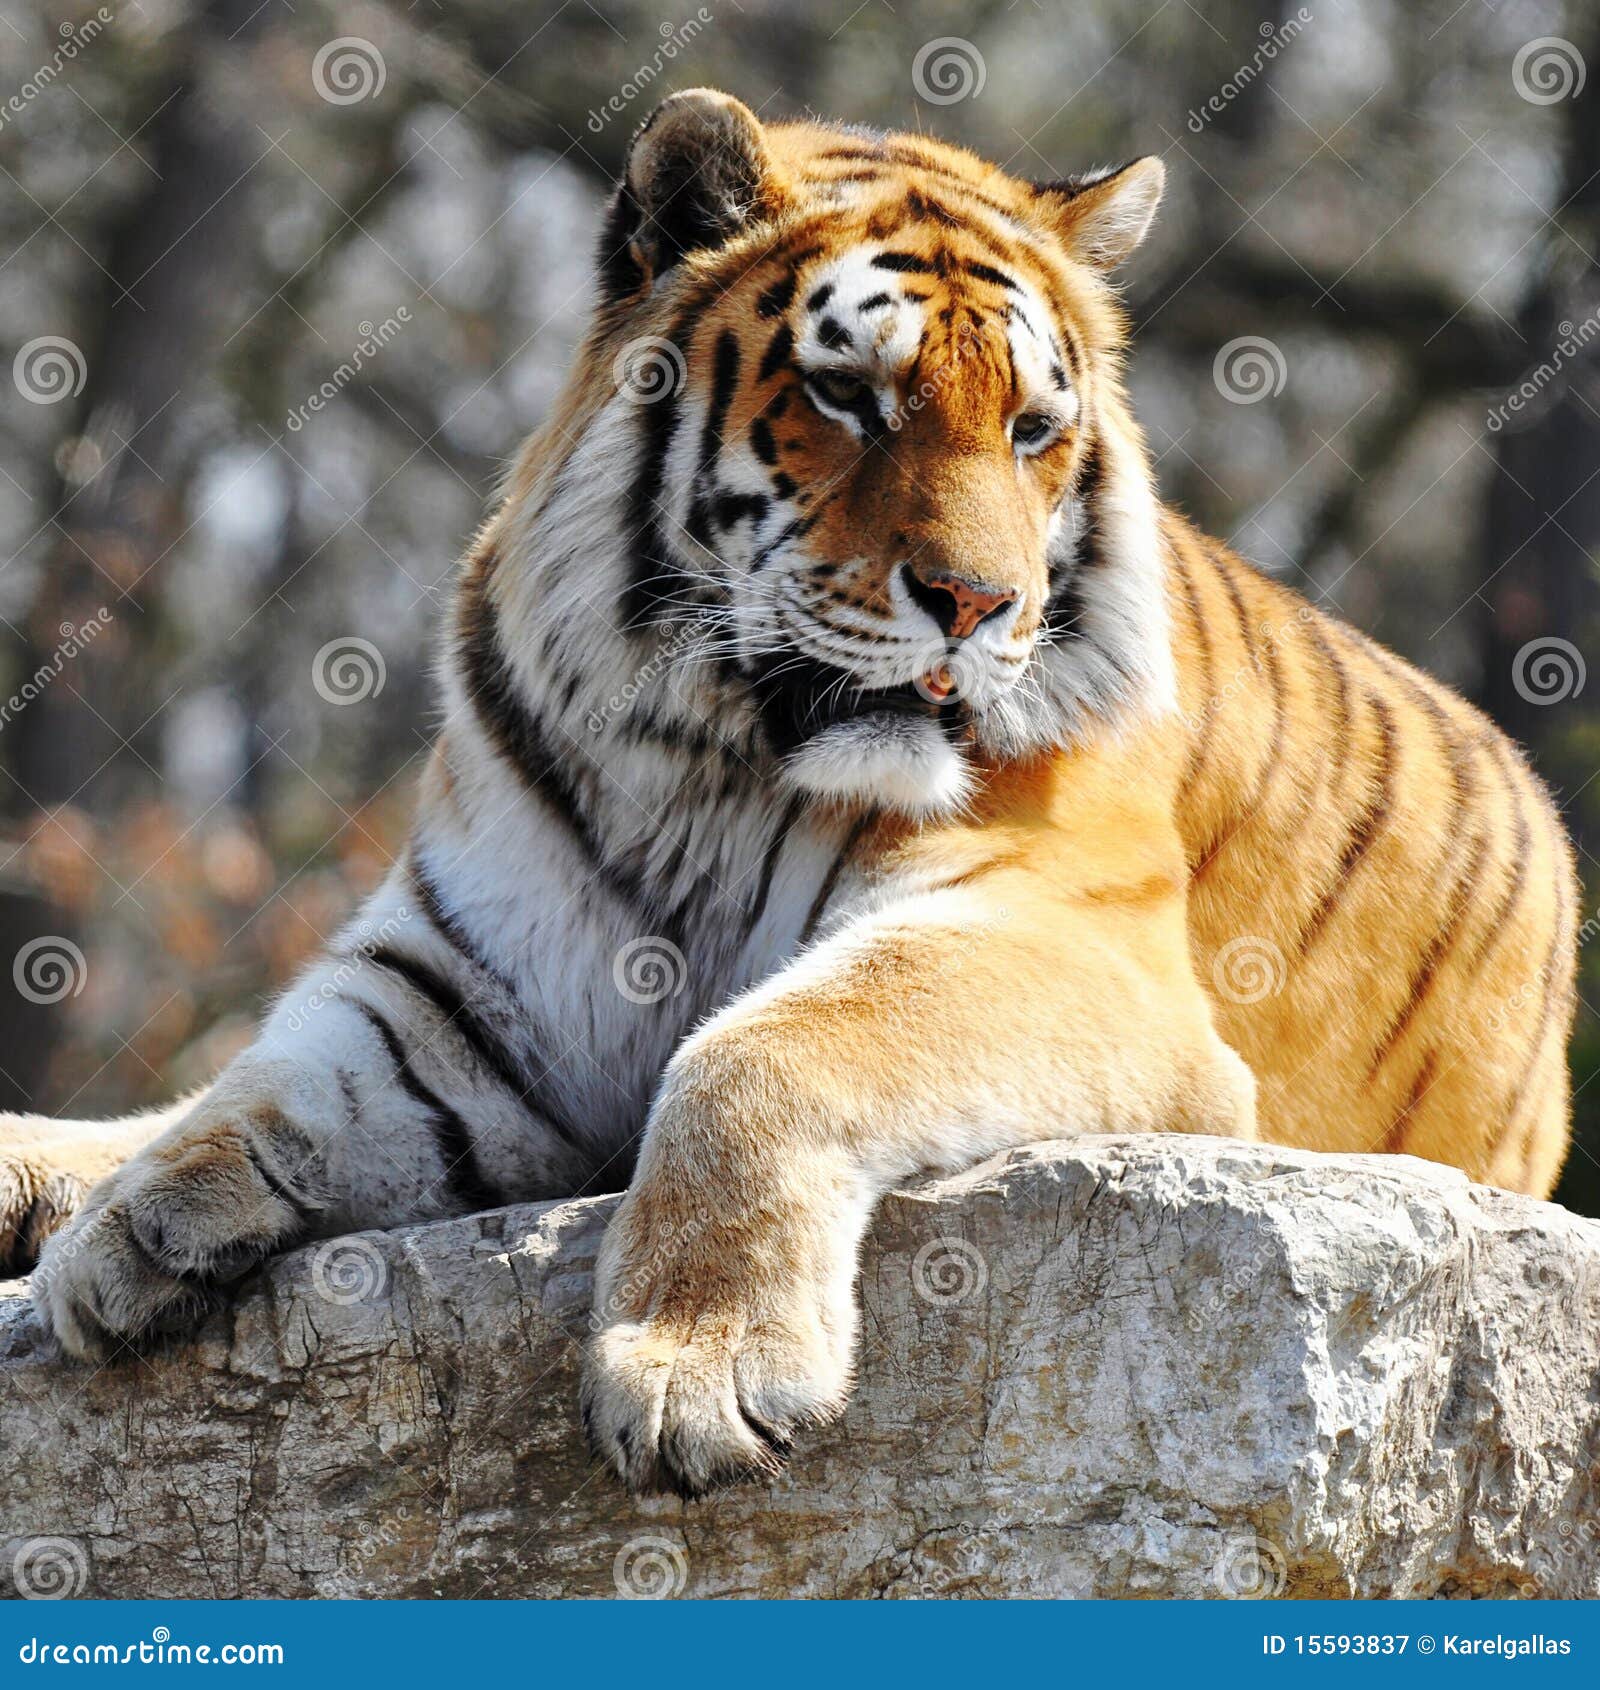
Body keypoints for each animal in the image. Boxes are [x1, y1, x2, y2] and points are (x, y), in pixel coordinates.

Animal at [1, 90, 1576, 1501]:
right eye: (847, 395)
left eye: (1030, 430)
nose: (979, 603)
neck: (702, 755)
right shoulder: (469, 983)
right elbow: (280, 1075)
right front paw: (135, 1232)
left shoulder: (1069, 945)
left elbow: (756, 1051)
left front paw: (697, 1369)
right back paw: (50, 1179)